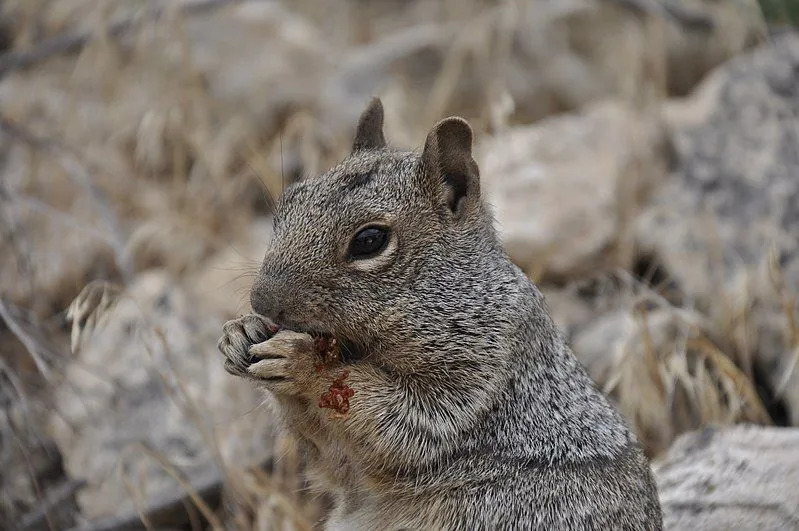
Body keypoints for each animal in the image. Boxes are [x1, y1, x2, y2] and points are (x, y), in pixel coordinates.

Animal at [217, 100, 664, 531]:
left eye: (370, 240)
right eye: (288, 201)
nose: (262, 301)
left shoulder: (481, 365)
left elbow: (407, 422)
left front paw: (303, 362)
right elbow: (330, 456)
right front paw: (240, 333)